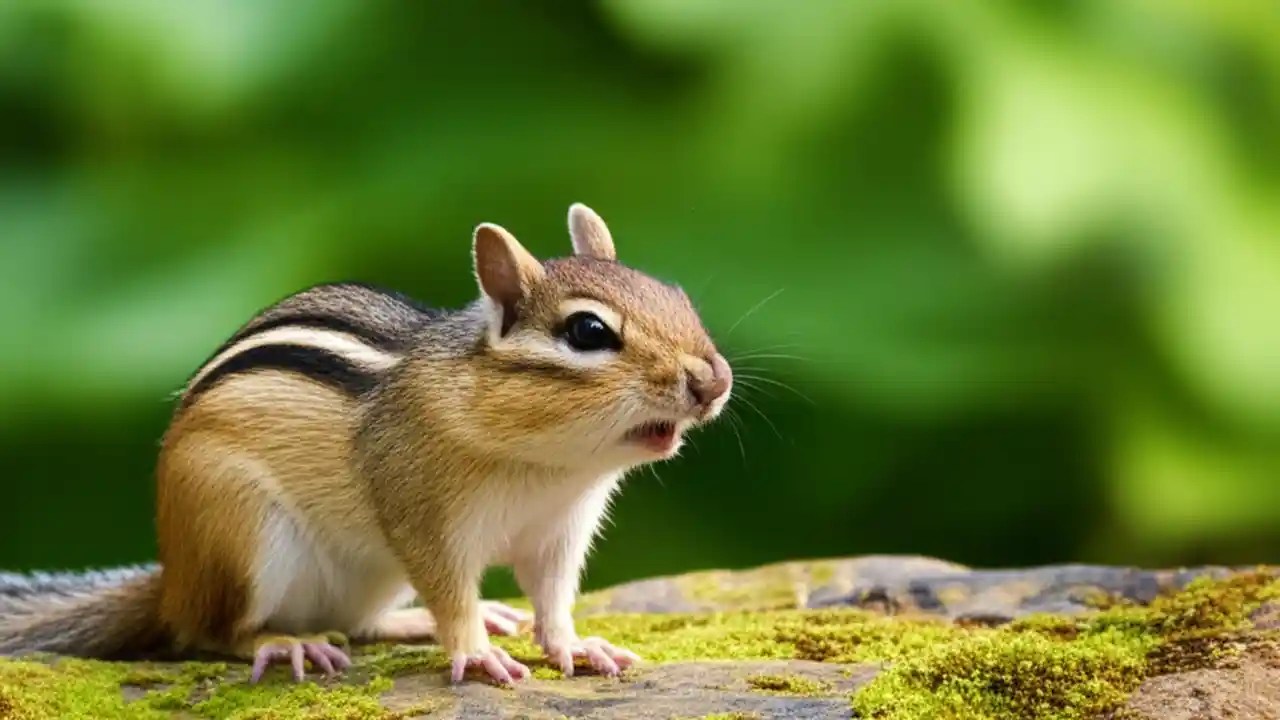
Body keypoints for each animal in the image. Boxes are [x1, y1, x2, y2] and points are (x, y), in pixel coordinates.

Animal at [0, 203, 733, 685]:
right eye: (588, 331)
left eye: (676, 296)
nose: (714, 381)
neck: (549, 465)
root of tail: (171, 580)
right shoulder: (423, 519)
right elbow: (450, 593)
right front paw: (474, 652)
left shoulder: (558, 532)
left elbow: (553, 601)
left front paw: (575, 647)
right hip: (242, 534)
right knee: (210, 633)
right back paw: (287, 645)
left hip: (369, 575)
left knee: (357, 623)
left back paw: (415, 624)